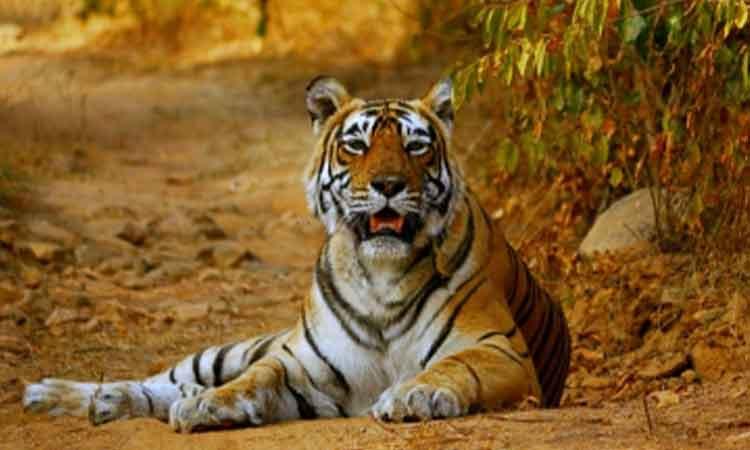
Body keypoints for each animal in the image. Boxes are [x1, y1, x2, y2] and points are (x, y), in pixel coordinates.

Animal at [23, 76, 570, 432]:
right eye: (357, 144)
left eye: (416, 147)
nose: (388, 184)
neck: (381, 274)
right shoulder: (300, 363)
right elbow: (256, 377)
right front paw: (209, 404)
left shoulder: (501, 349)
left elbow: (454, 367)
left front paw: (413, 393)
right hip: (227, 350)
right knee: (164, 380)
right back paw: (63, 395)